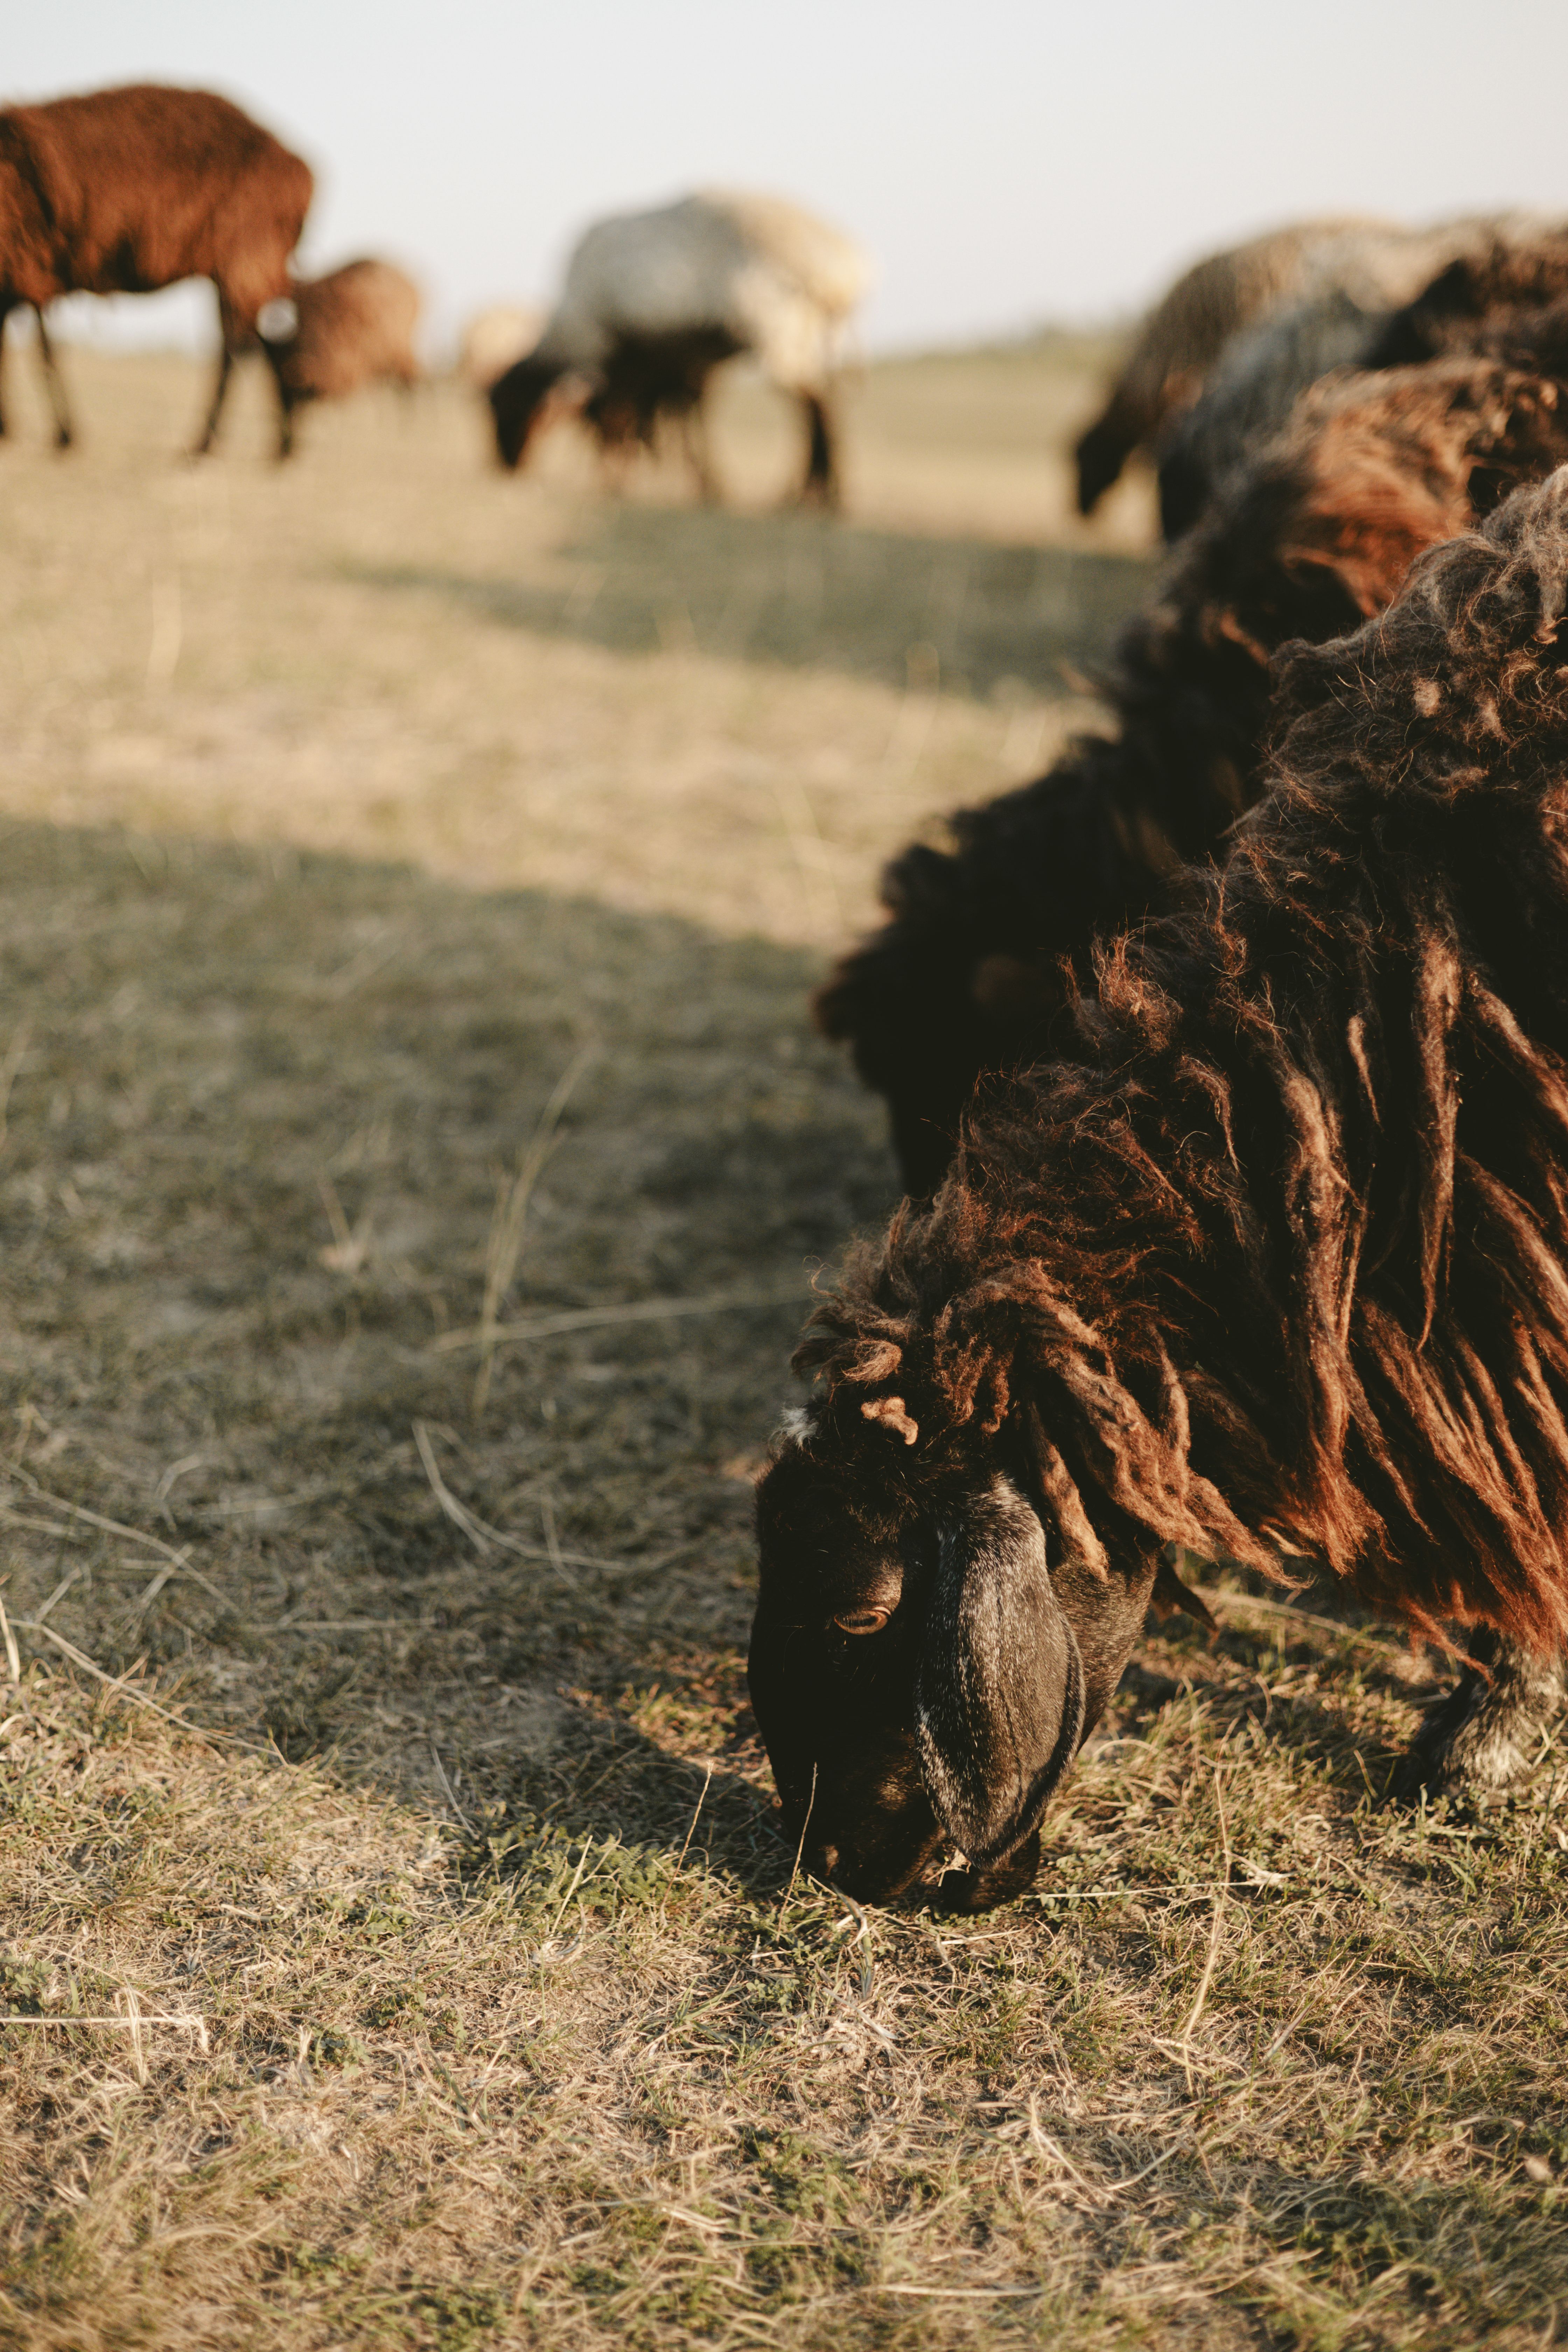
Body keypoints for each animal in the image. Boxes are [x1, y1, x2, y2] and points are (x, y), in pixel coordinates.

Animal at [0, 82, 312, 455]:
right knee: (263, 342)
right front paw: (24, 431)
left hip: (246, 257)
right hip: (245, 267)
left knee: (237, 349)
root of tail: (301, 171)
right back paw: (281, 445)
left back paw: (205, 444)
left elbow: (43, 352)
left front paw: (62, 436)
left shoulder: (28, 265)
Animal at [258, 258, 421, 458]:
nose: (301, 371)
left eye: (325, 326)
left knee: (407, 388)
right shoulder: (282, 377)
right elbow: (288, 410)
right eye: (294, 337)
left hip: (401, 358)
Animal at [487, 190, 870, 505]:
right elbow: (680, 418)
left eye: (513, 414)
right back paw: (826, 494)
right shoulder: (673, 364)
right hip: (809, 331)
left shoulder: (621, 358)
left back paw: (806, 494)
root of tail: (840, 267)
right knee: (828, 398)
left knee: (812, 404)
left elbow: (619, 419)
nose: (506, 469)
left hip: (778, 325)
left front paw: (616, 483)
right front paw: (704, 486)